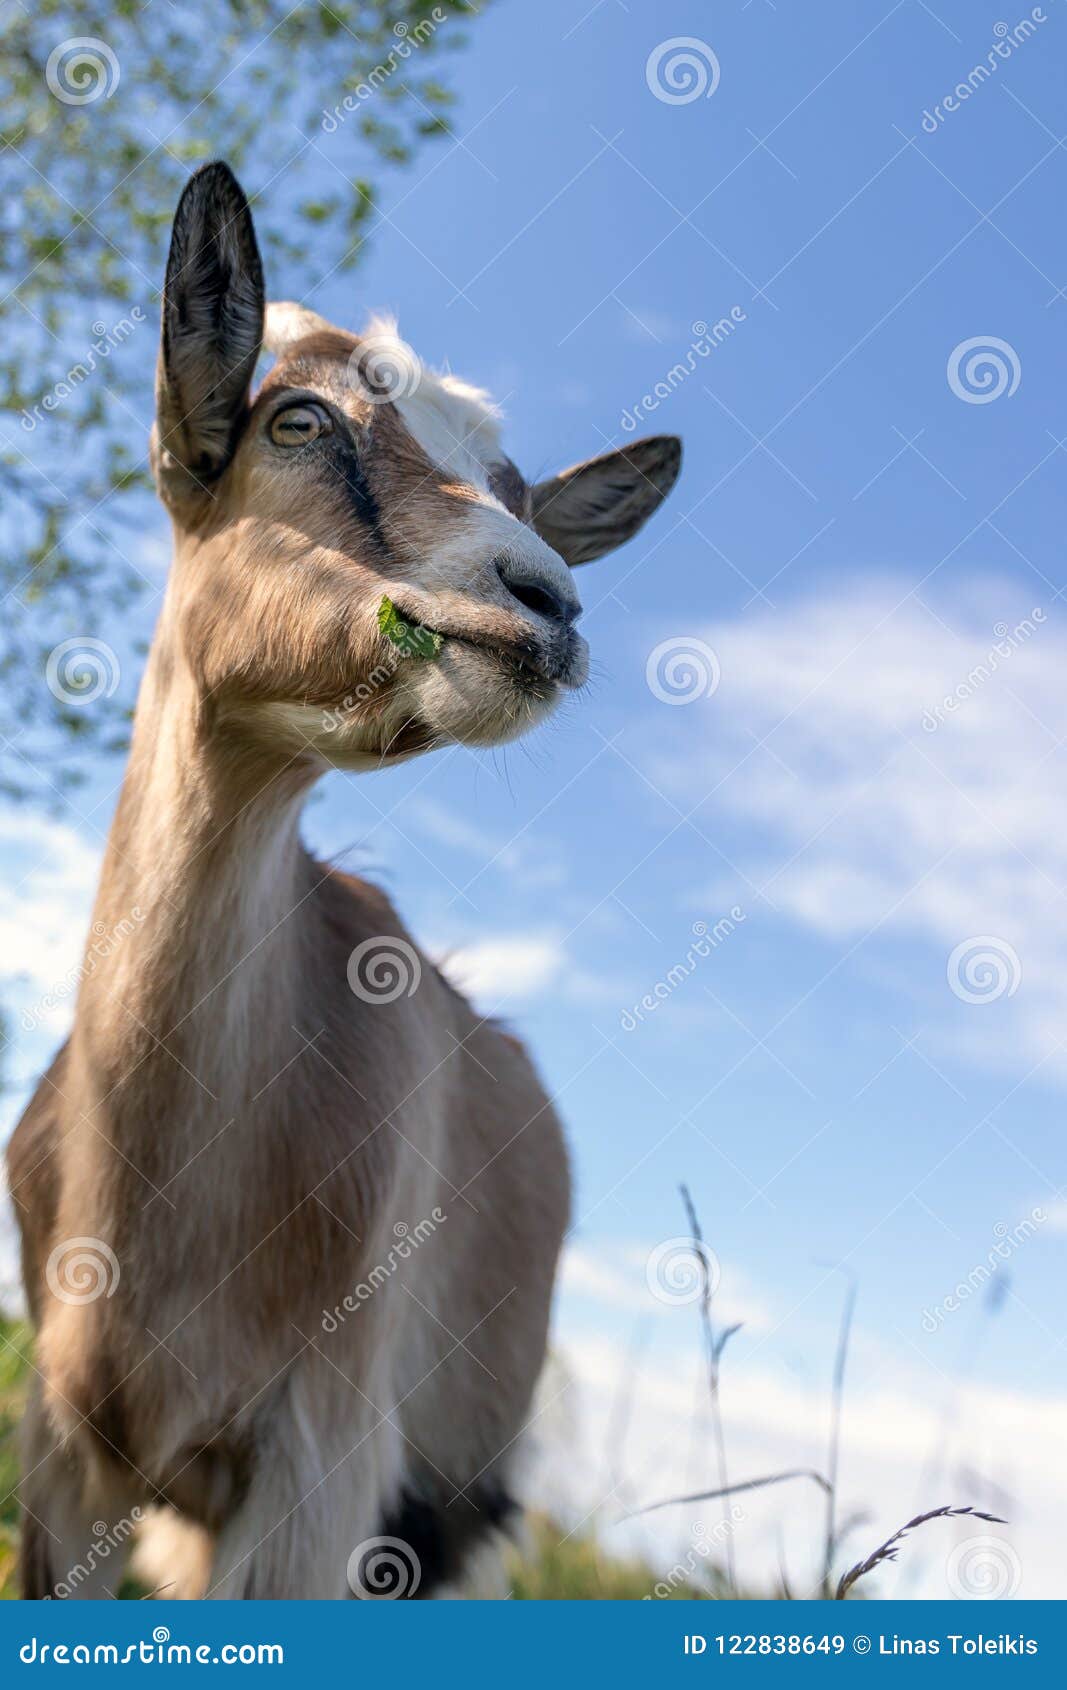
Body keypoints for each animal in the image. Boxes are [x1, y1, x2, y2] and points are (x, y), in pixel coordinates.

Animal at [4, 161, 679, 1595]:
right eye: (297, 419)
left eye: (518, 491)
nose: (541, 600)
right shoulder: (63, 1450)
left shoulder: (321, 1461)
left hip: (454, 1507)